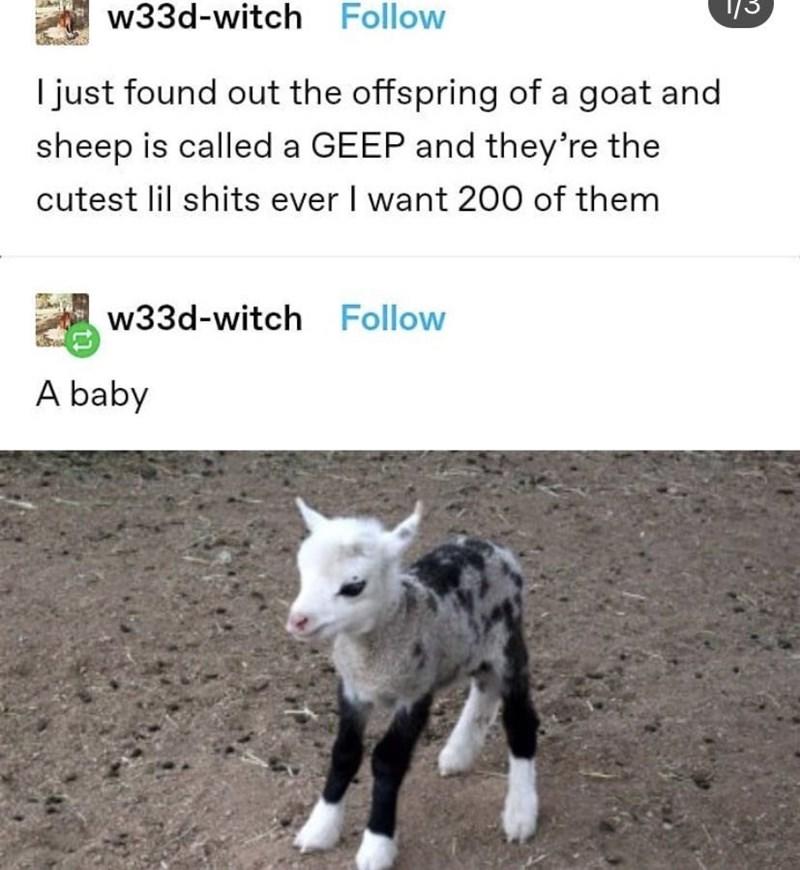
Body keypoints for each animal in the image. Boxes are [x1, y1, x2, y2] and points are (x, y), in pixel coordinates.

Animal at [287, 499, 539, 870]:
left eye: (353, 586)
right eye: (302, 570)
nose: (298, 621)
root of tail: (492, 547)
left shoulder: (414, 692)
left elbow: (387, 761)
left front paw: (376, 845)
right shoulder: (352, 690)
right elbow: (344, 753)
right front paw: (320, 828)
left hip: (508, 643)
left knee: (521, 721)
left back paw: (520, 813)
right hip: (473, 647)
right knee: (483, 689)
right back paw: (458, 753)